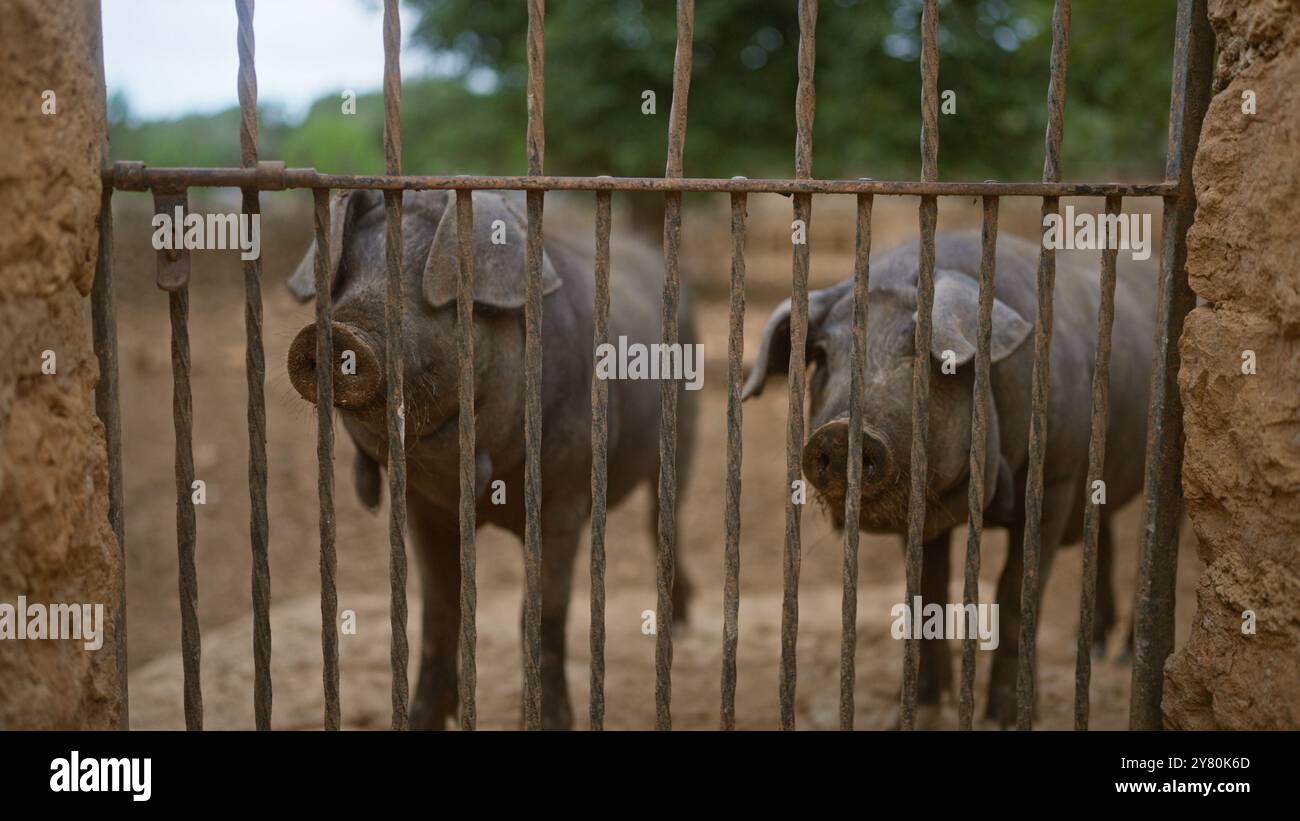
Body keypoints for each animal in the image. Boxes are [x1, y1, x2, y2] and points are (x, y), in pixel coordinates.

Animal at [285, 189, 698, 730]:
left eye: (432, 291)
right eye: (346, 273)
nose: (339, 330)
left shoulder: (565, 496)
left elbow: (544, 614)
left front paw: (547, 721)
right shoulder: (423, 509)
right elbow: (439, 610)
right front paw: (426, 718)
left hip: (686, 431)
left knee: (662, 521)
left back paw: (684, 622)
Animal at [742, 231, 1154, 726]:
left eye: (925, 355)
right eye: (820, 357)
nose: (840, 433)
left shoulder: (1059, 474)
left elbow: (1016, 596)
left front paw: (1006, 717)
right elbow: (925, 596)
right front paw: (919, 706)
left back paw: (1124, 657)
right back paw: (1094, 646)